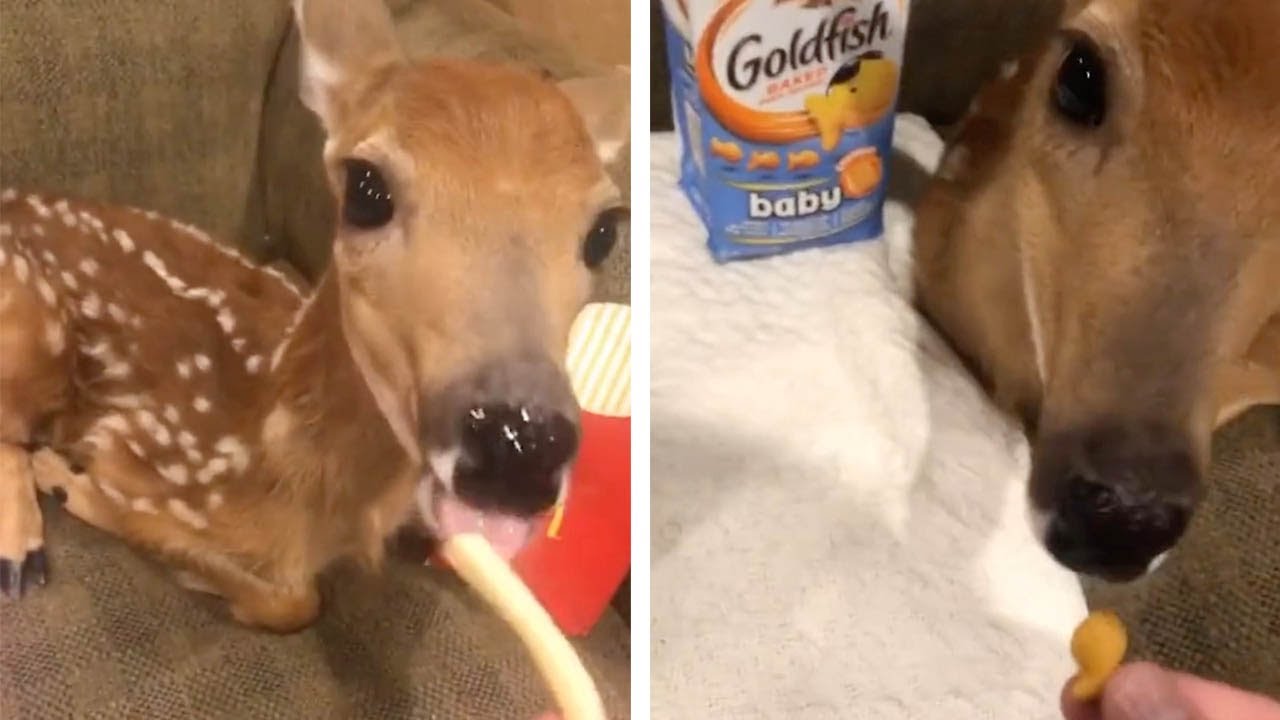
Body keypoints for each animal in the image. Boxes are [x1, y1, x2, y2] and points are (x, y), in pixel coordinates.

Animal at [0, 0, 629, 633]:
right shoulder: (142, 454)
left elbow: (296, 601)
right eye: (366, 187)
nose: (521, 445)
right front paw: (69, 484)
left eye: (605, 231)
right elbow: (279, 592)